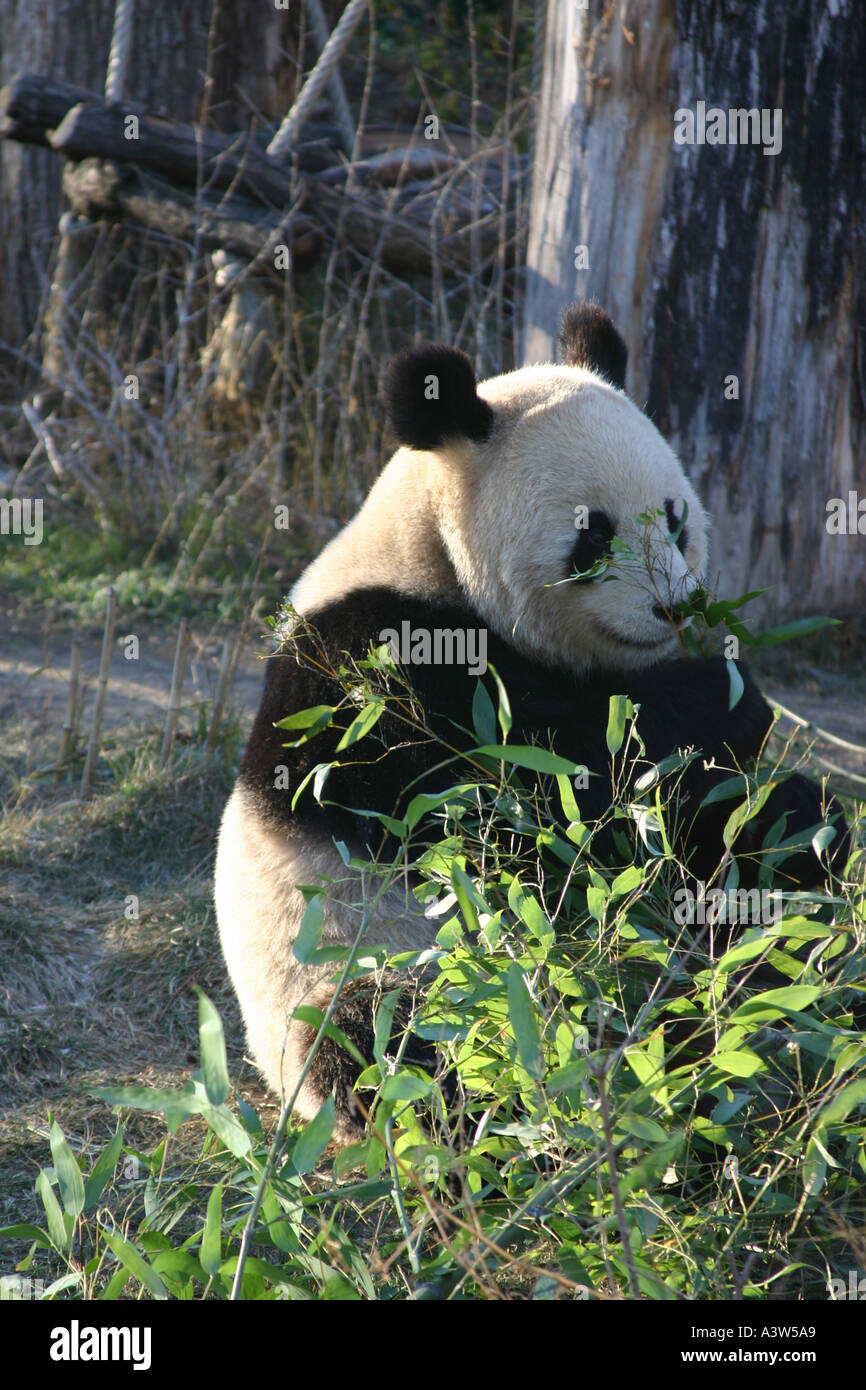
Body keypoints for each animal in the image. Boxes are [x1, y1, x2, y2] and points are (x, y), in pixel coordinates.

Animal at [214, 302, 848, 1140]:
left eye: (675, 517)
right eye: (593, 532)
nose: (675, 608)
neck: (429, 548)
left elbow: (672, 817)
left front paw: (788, 811)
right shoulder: (382, 675)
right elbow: (534, 799)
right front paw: (730, 695)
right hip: (366, 968)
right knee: (394, 1042)